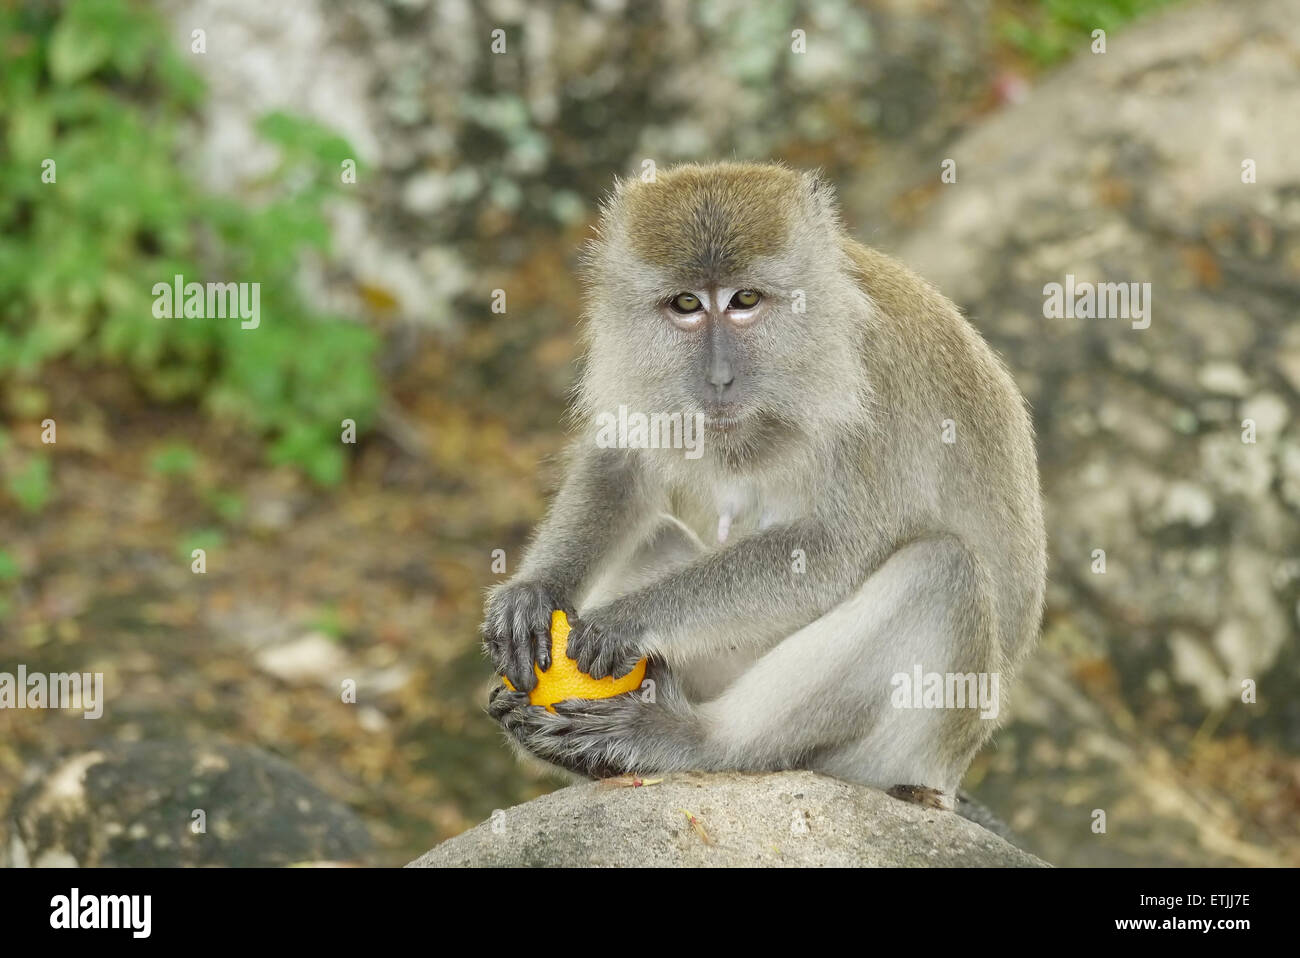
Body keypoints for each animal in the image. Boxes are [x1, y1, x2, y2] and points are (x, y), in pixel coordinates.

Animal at [482, 161, 1046, 809]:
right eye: (687, 304)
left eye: (745, 300)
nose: (719, 377)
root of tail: (949, 774)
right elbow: (624, 466)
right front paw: (533, 592)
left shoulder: (876, 382)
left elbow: (833, 551)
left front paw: (624, 620)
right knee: (654, 538)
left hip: (887, 759)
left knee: (941, 570)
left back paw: (689, 740)